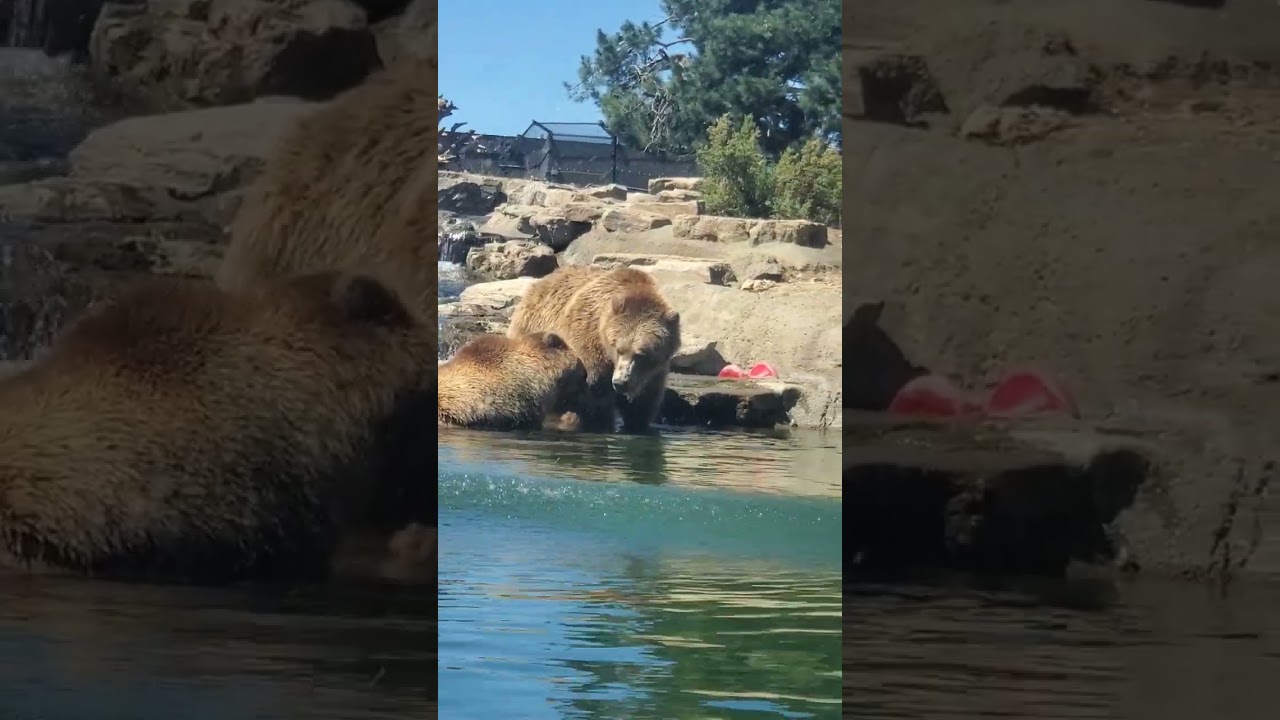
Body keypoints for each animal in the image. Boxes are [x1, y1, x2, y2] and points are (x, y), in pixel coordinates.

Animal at [507, 266, 681, 433]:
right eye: (619, 349)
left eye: (642, 354)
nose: (620, 382)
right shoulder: (587, 347)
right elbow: (591, 403)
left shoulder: (652, 374)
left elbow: (643, 405)